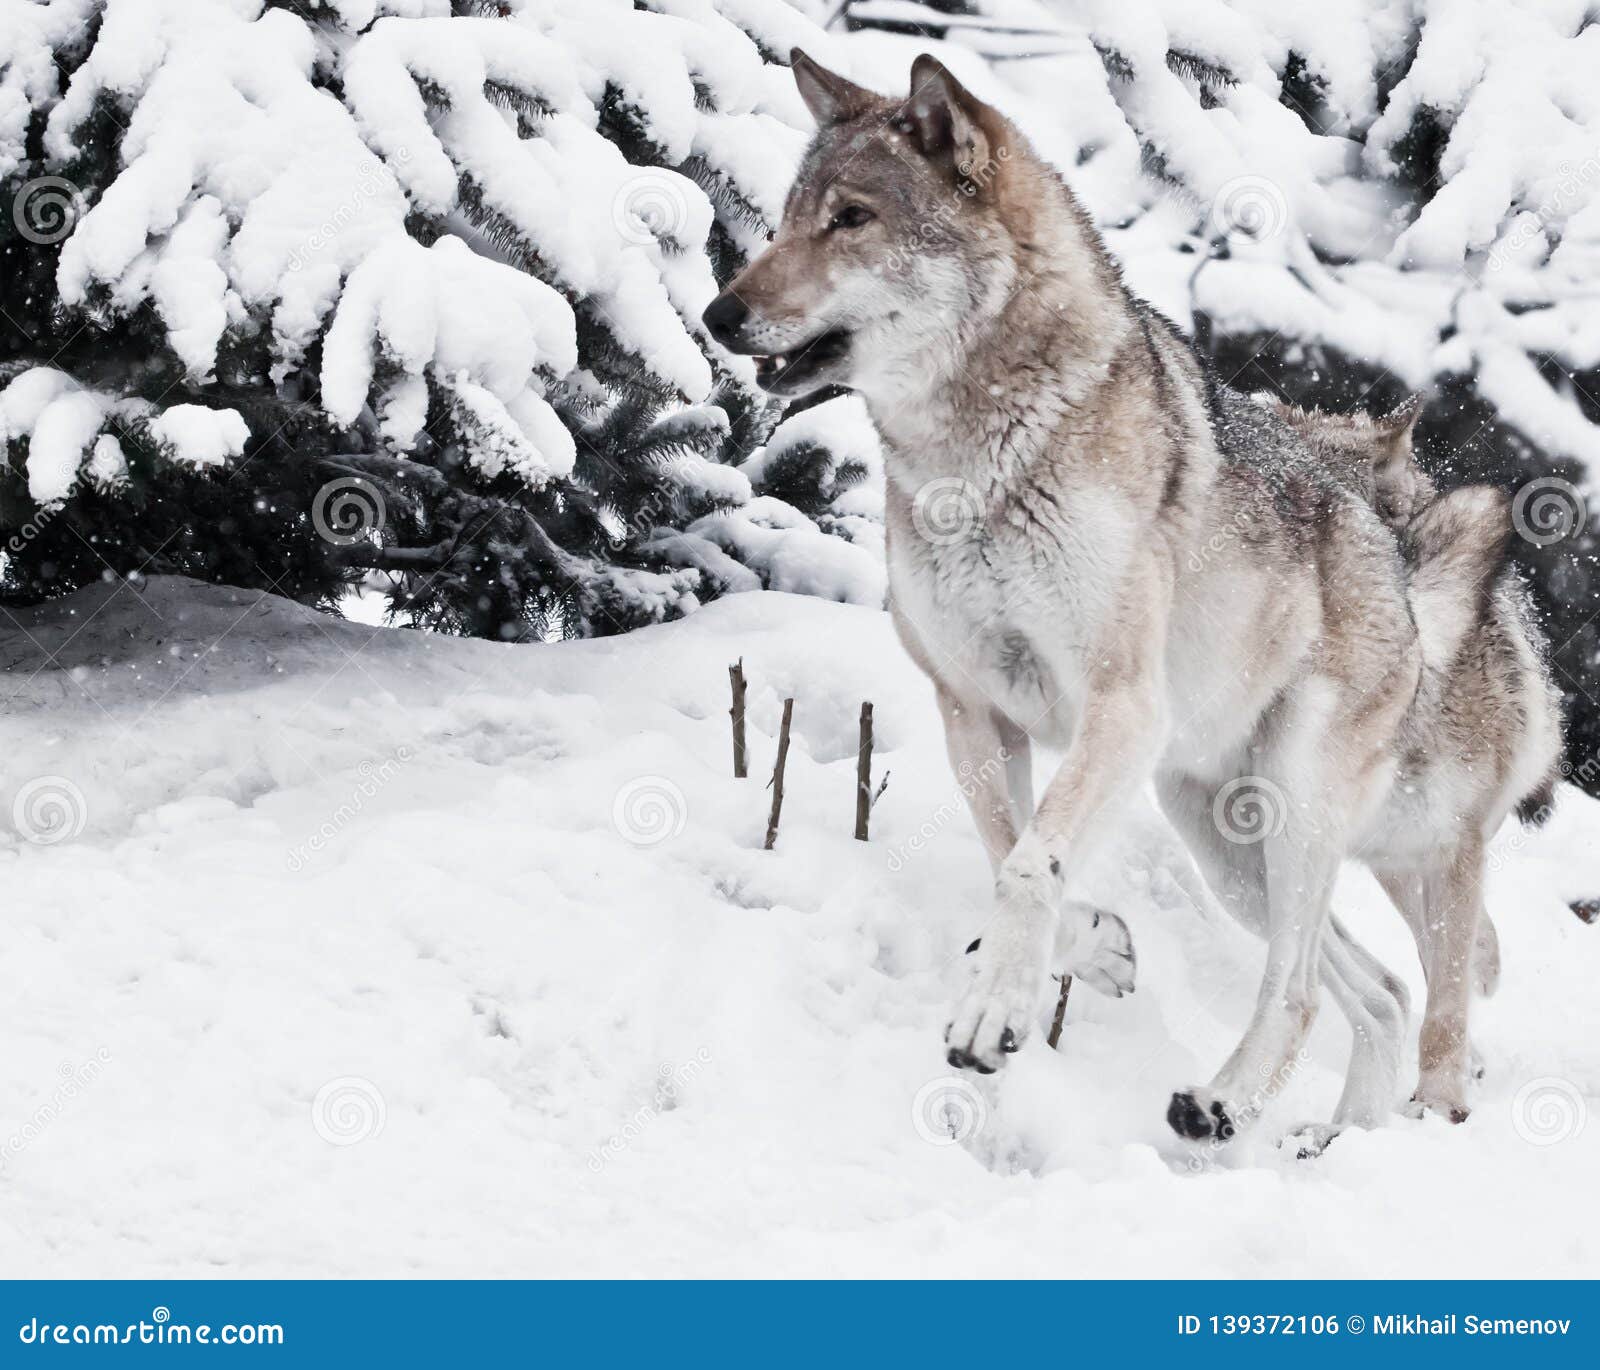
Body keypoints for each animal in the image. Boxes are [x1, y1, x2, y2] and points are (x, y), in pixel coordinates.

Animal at [703, 51, 1564, 1139]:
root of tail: (1396, 558)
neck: (975, 466)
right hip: (1218, 837)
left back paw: (1221, 1102)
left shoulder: (1118, 707)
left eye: (850, 218)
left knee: (1306, 988)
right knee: (1377, 992)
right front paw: (1090, 950)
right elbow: (1009, 853)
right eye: (781, 220)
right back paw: (1300, 1134)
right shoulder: (973, 711)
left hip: (1290, 808)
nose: (717, 315)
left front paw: (990, 1015)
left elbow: (1029, 862)